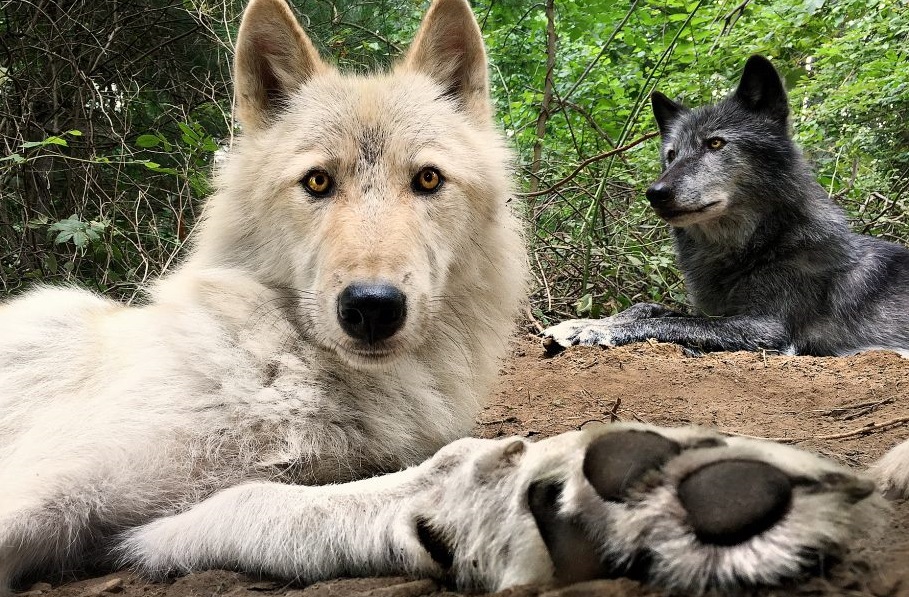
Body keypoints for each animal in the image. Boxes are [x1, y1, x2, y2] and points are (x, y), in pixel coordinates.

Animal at [543, 55, 909, 357]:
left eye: (716, 143)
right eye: (671, 155)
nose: (655, 193)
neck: (762, 245)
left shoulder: (766, 329)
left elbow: (676, 323)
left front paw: (592, 330)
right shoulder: (719, 311)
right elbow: (649, 306)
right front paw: (588, 321)